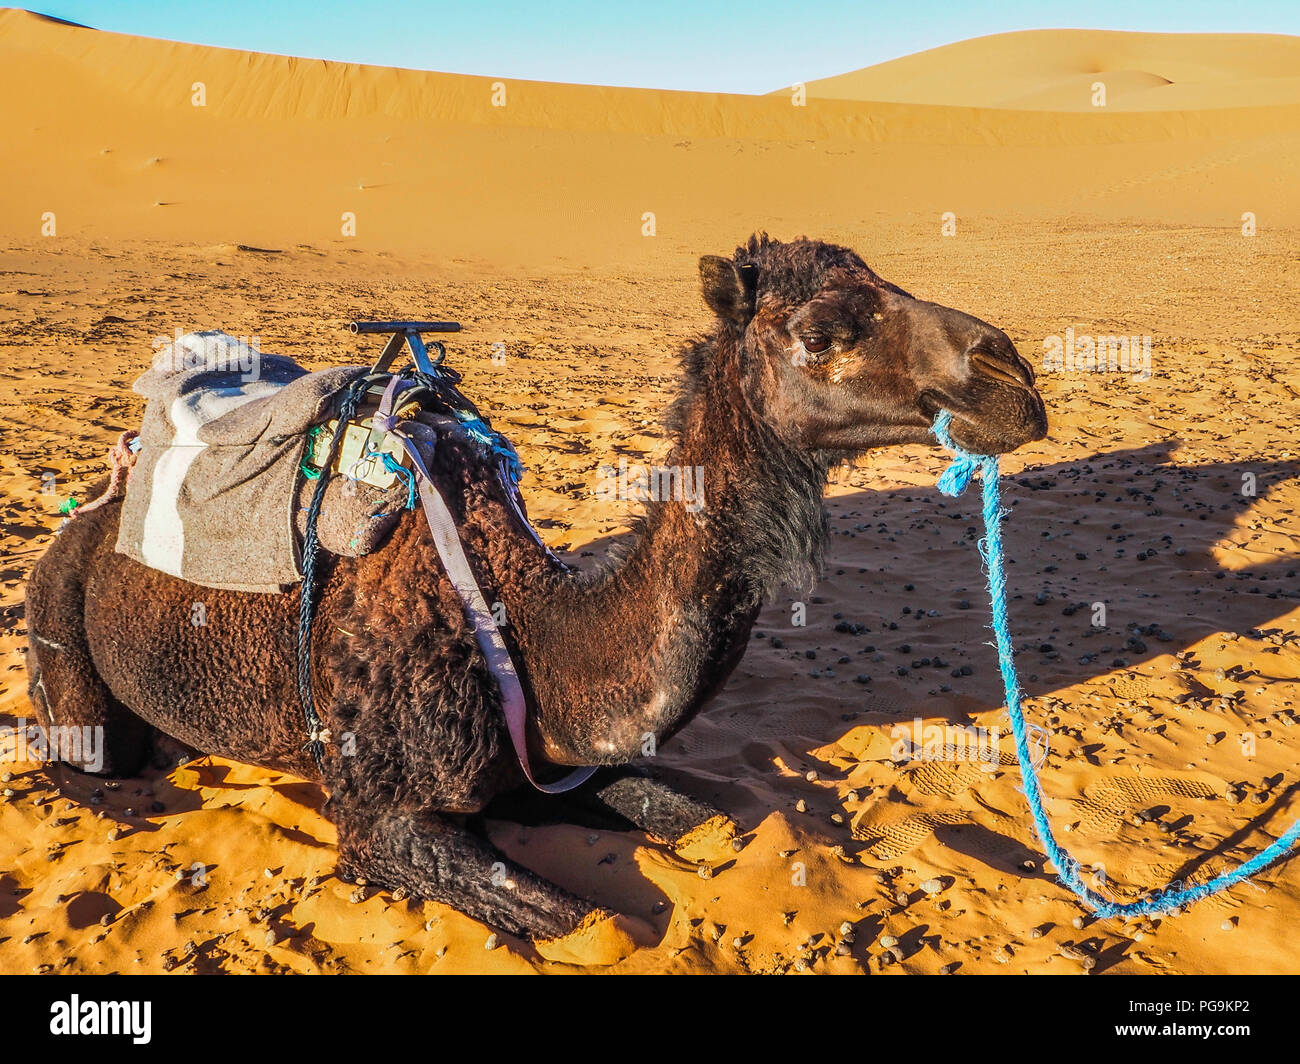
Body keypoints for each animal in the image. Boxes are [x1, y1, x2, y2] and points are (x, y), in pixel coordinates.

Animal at [24, 234, 1046, 953]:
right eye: (822, 333)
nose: (1013, 376)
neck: (523, 628)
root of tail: (94, 505)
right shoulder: (379, 814)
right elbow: (587, 923)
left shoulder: (551, 761)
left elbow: (719, 829)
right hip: (60, 619)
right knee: (86, 750)